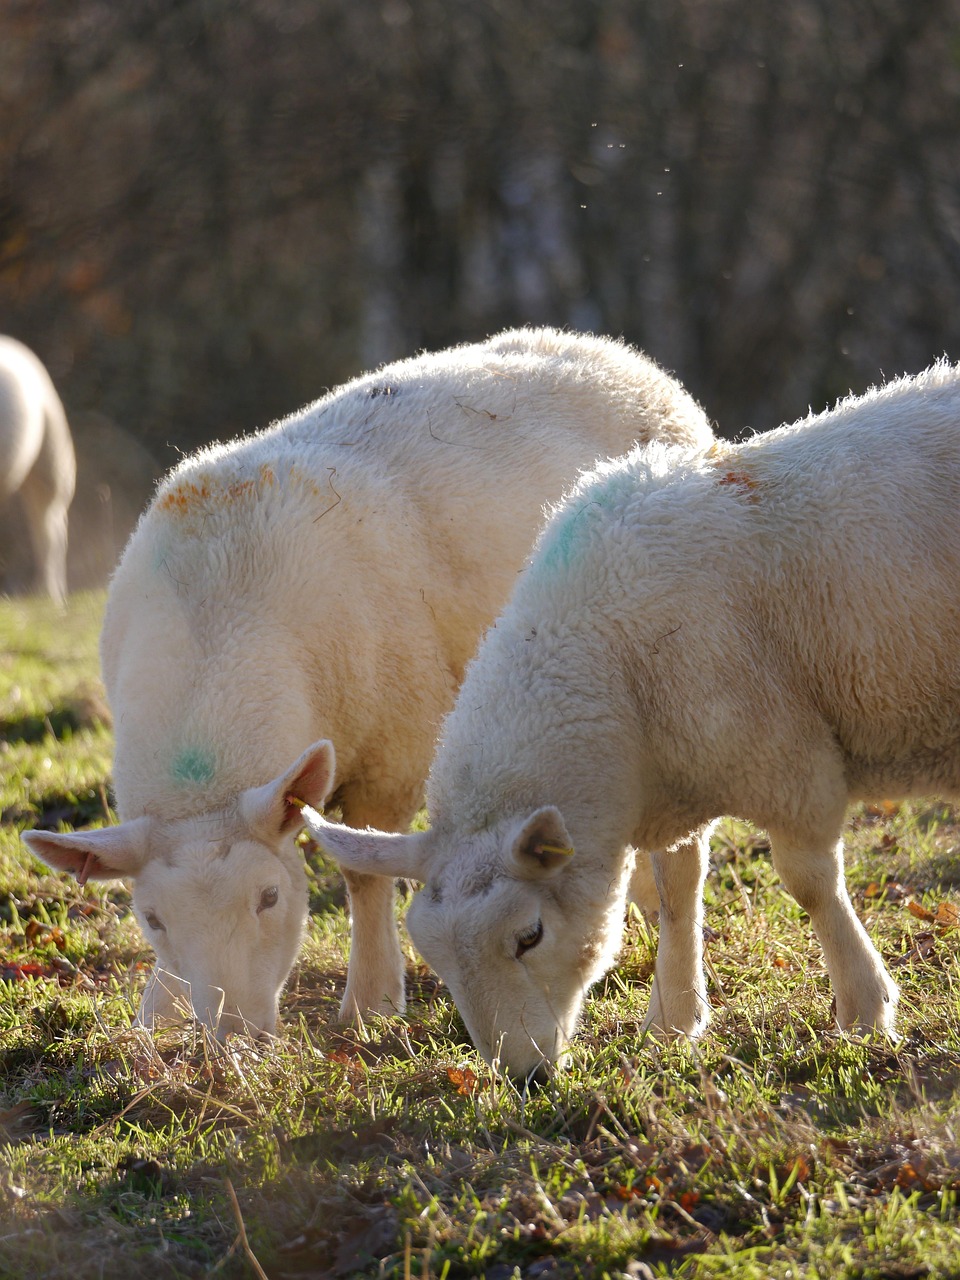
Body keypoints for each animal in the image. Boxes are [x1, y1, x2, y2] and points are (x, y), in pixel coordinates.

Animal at [22, 327, 711, 1039]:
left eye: (270, 897)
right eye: (153, 918)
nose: (235, 1035)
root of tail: (611, 352)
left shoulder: (393, 751)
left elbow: (362, 872)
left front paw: (371, 1003)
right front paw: (157, 1014)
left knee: (681, 870)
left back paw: (674, 1010)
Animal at [302, 361, 960, 1079]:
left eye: (530, 936)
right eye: (436, 959)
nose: (525, 1078)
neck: (607, 667)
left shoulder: (789, 764)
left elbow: (811, 884)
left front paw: (865, 1010)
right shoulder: (680, 778)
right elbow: (678, 888)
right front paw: (673, 1021)